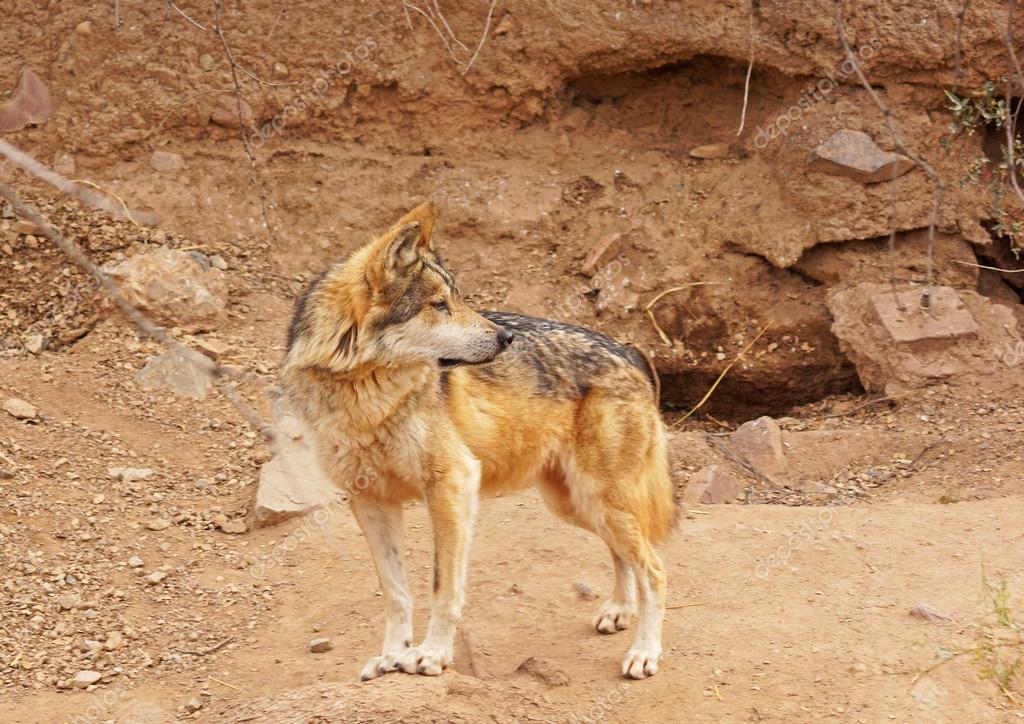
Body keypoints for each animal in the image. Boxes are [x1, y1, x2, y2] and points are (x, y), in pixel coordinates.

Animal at [282, 202, 676, 680]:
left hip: (599, 500)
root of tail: (627, 349)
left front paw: (431, 654)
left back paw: (645, 652)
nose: (507, 338)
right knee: (625, 556)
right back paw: (619, 610)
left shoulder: (452, 484)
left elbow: (442, 587)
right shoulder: (371, 502)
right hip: (576, 505)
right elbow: (396, 594)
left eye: (457, 298)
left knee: (655, 569)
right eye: (439, 305)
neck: (366, 396)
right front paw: (391, 655)